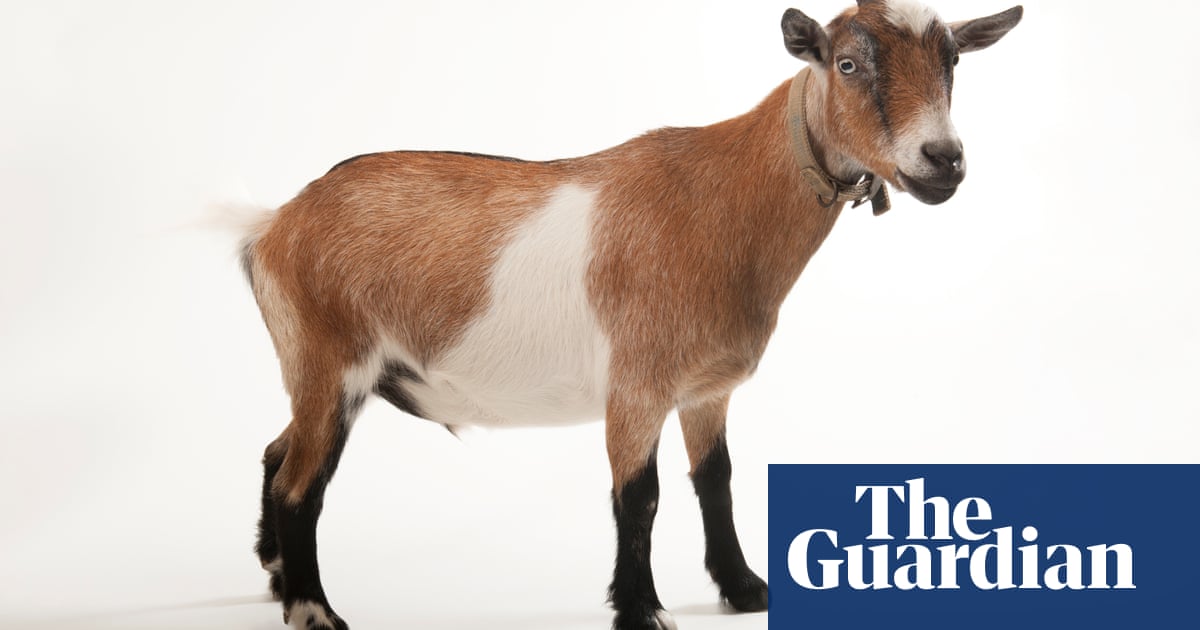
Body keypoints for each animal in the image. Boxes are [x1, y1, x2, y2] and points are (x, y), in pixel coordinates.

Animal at [241, 2, 1022, 628]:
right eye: (849, 63)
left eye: (954, 60)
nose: (943, 160)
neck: (722, 201)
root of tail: (274, 226)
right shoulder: (637, 382)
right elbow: (638, 496)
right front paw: (643, 611)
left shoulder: (706, 388)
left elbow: (715, 478)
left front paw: (745, 589)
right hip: (329, 359)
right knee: (301, 485)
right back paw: (314, 610)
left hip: (319, 371)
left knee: (278, 453)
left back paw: (277, 577)